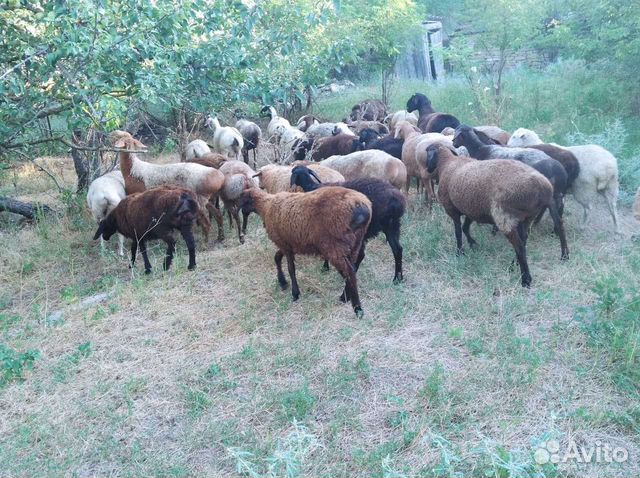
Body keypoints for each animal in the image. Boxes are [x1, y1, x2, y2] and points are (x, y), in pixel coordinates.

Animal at [239, 186, 372, 316]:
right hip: (355, 243)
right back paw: (345, 297)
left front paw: (295, 293)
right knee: (352, 269)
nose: (243, 232)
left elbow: (291, 269)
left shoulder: (284, 244)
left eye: (242, 201)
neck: (266, 206)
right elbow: (277, 257)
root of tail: (362, 207)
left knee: (349, 272)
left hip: (335, 245)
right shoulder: (288, 244)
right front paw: (282, 282)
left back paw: (357, 308)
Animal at [424, 143, 556, 287]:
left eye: (428, 153)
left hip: (504, 216)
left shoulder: (451, 209)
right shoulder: (472, 208)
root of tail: (544, 186)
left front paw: (460, 252)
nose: (427, 168)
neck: (447, 163)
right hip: (526, 218)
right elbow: (465, 228)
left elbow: (458, 232)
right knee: (523, 241)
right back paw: (513, 265)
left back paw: (525, 279)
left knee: (519, 246)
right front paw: (473, 244)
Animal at [453, 125, 569, 259]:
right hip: (554, 196)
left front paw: (494, 230)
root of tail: (556, 169)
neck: (479, 148)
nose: (453, 144)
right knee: (558, 217)